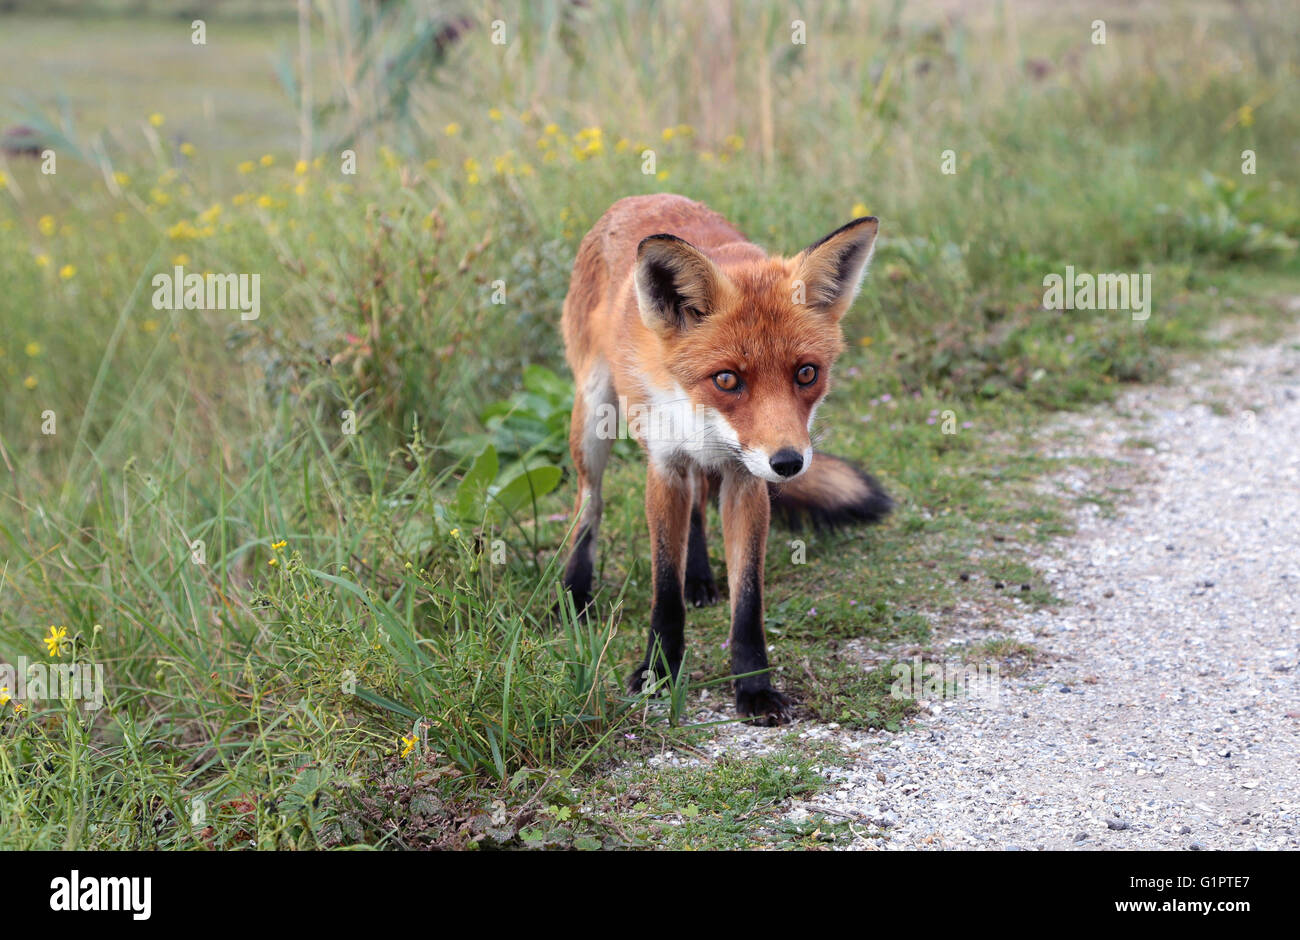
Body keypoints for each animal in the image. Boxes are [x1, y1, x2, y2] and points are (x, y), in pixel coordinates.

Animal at [559, 194, 891, 725]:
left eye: (806, 373)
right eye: (728, 379)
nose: (788, 463)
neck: (704, 418)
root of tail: (638, 198)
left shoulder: (745, 478)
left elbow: (748, 601)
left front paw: (754, 687)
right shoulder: (665, 468)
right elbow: (664, 589)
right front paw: (657, 671)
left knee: (697, 505)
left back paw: (699, 579)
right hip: (593, 416)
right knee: (590, 503)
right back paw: (574, 592)